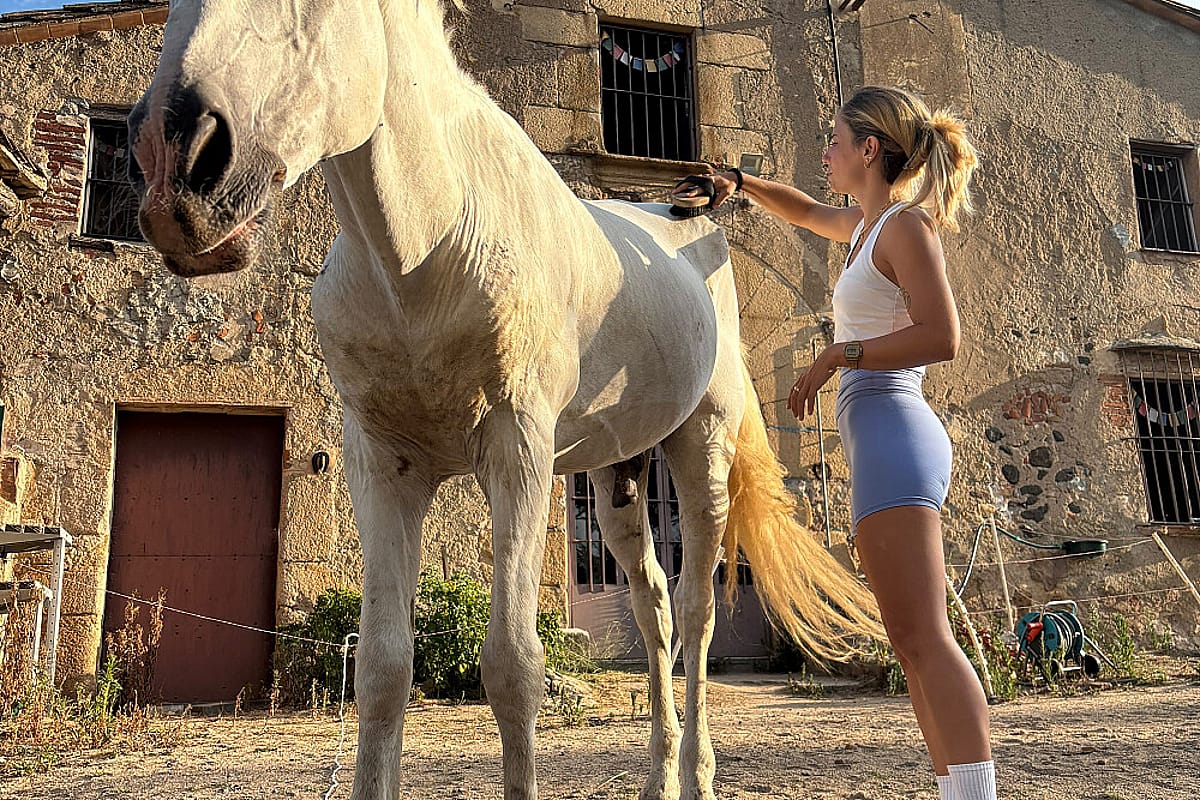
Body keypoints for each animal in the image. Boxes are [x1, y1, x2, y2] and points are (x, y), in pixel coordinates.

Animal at [128, 2, 883, 798]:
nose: (172, 163)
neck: (428, 254)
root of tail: (692, 222)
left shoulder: (516, 453)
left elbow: (514, 667)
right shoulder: (380, 465)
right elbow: (382, 670)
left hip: (699, 449)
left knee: (696, 610)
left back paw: (697, 776)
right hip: (619, 474)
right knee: (652, 608)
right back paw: (656, 778)